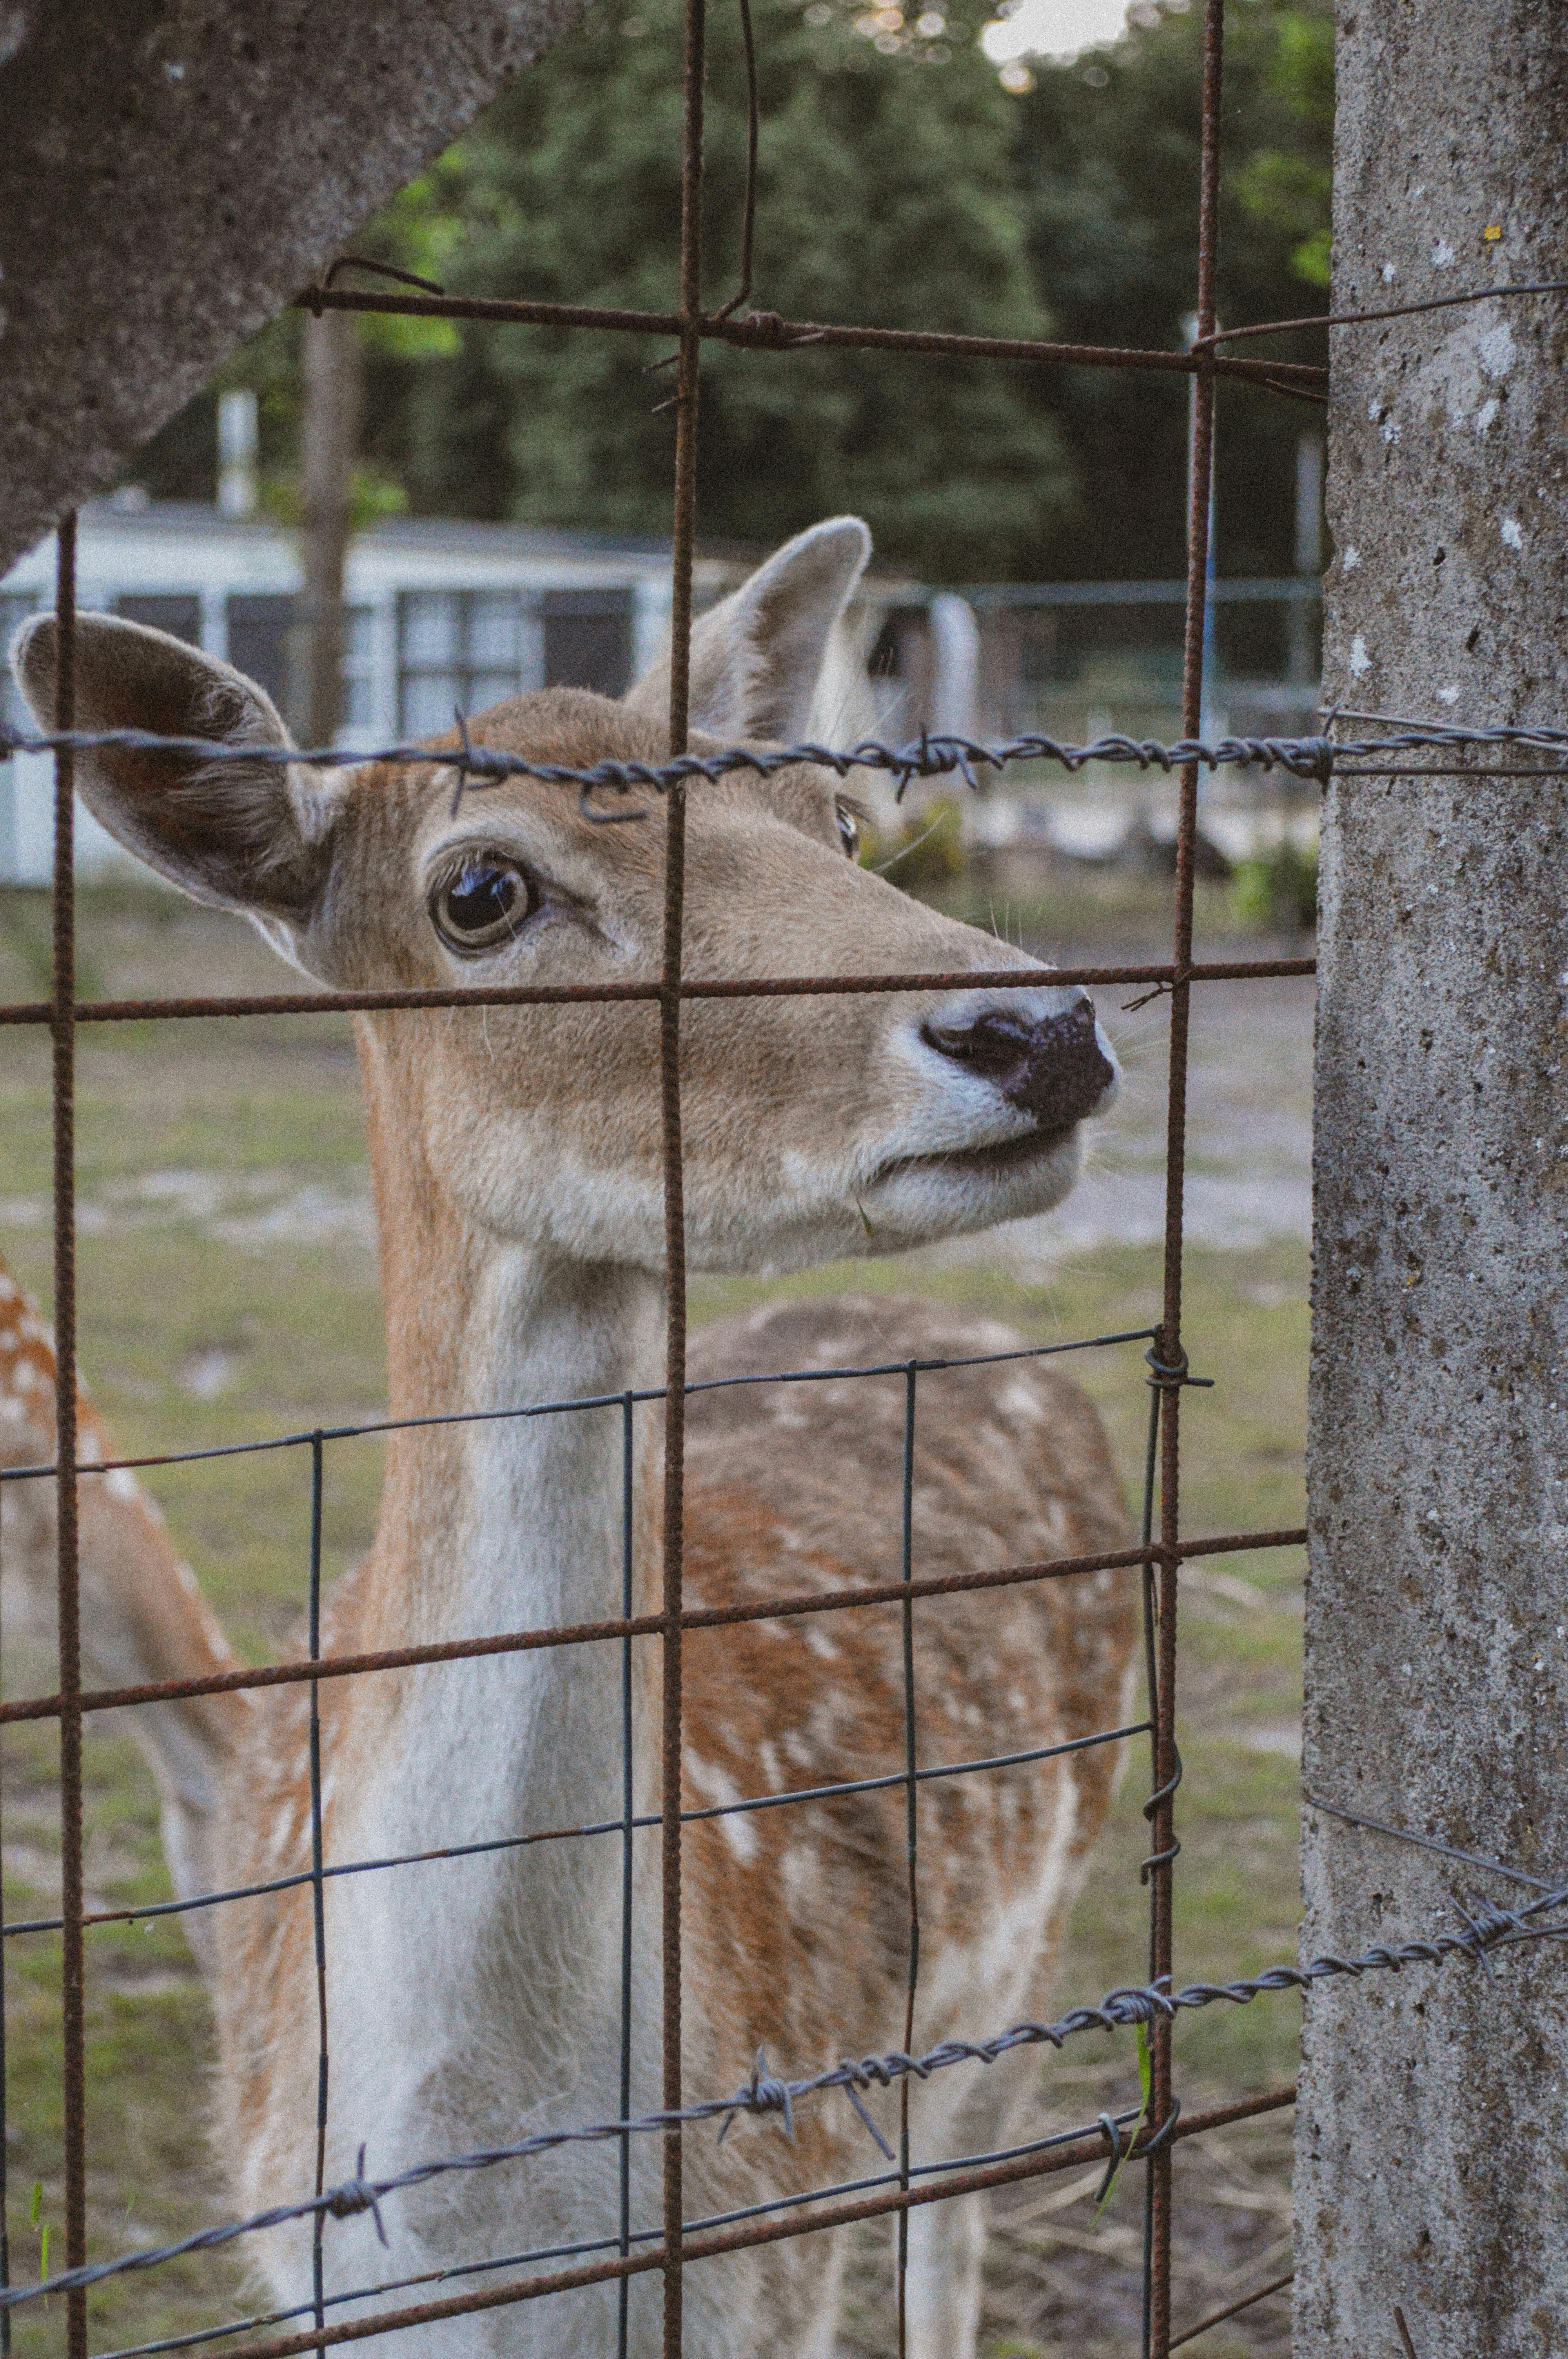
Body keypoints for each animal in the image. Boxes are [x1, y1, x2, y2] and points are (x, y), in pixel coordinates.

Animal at [6, 516, 1136, 2359]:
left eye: (835, 821)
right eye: (480, 889)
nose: (1039, 1026)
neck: (502, 2216)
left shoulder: (771, 2243)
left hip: (1032, 1936)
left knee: (957, 2215)